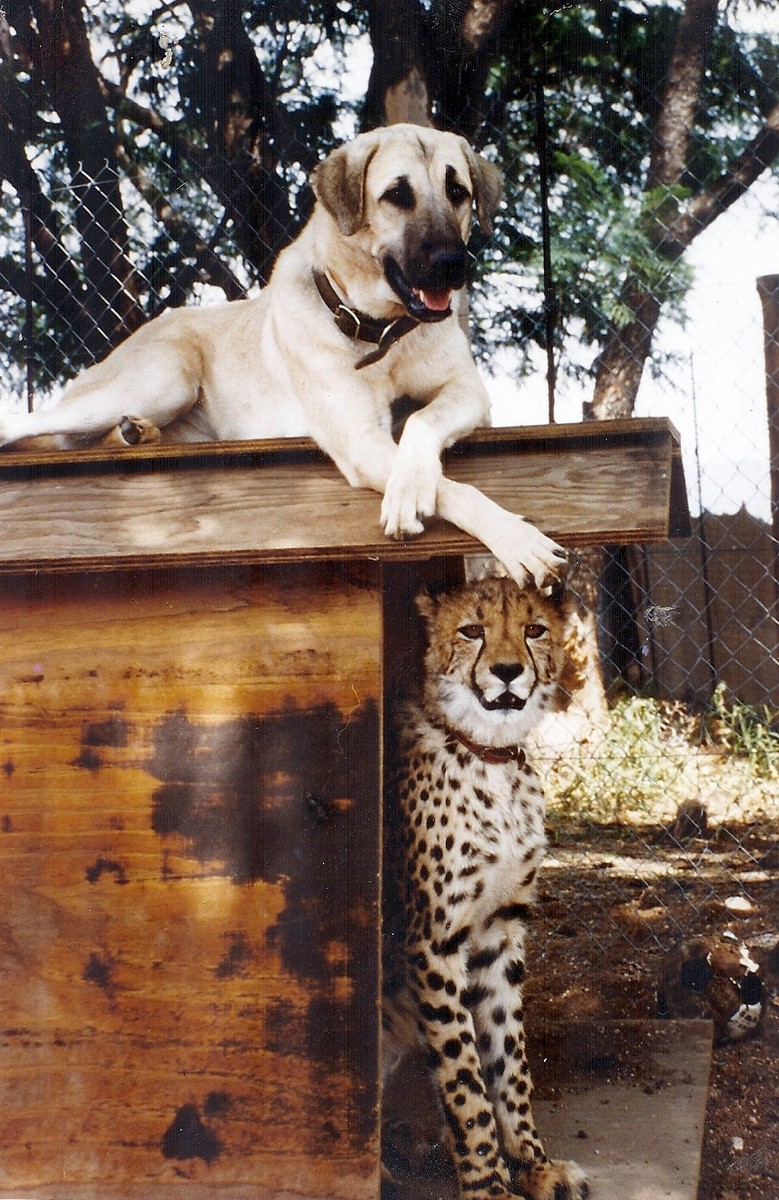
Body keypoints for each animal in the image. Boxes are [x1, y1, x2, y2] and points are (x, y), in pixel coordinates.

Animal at [382, 575, 589, 1200]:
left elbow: (508, 1059)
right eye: (471, 629)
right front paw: (489, 1184)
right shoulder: (434, 944)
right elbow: (464, 1078)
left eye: (534, 629)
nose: (506, 670)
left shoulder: (501, 932)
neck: (491, 758)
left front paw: (535, 1165)